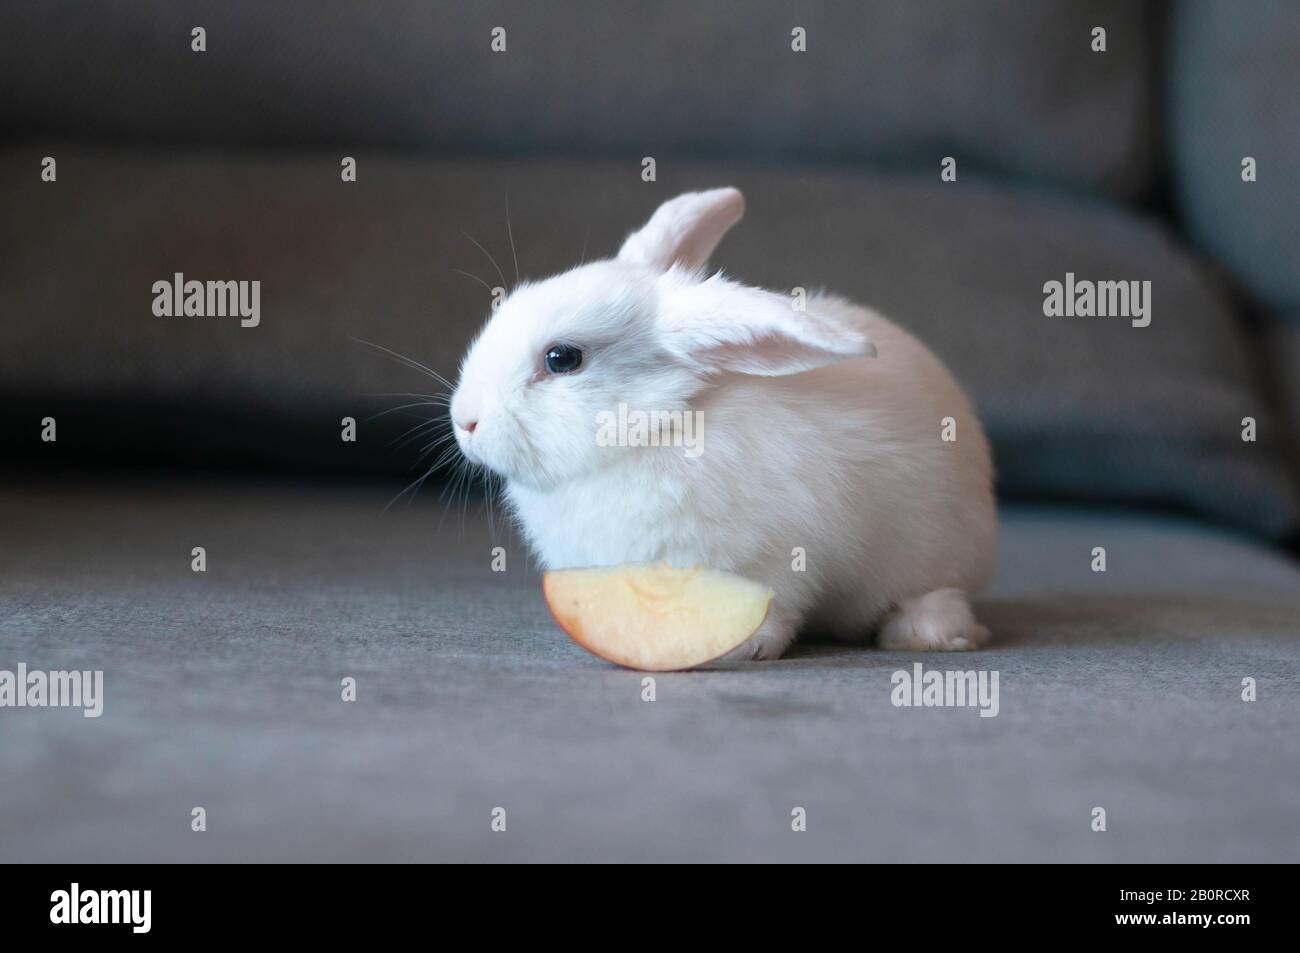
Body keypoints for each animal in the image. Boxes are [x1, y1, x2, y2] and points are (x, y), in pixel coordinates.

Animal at [451, 188, 997, 660]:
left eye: (562, 359)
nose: (464, 421)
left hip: (933, 552)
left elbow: (773, 607)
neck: (658, 427)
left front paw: (745, 647)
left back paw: (928, 633)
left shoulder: (773, 557)